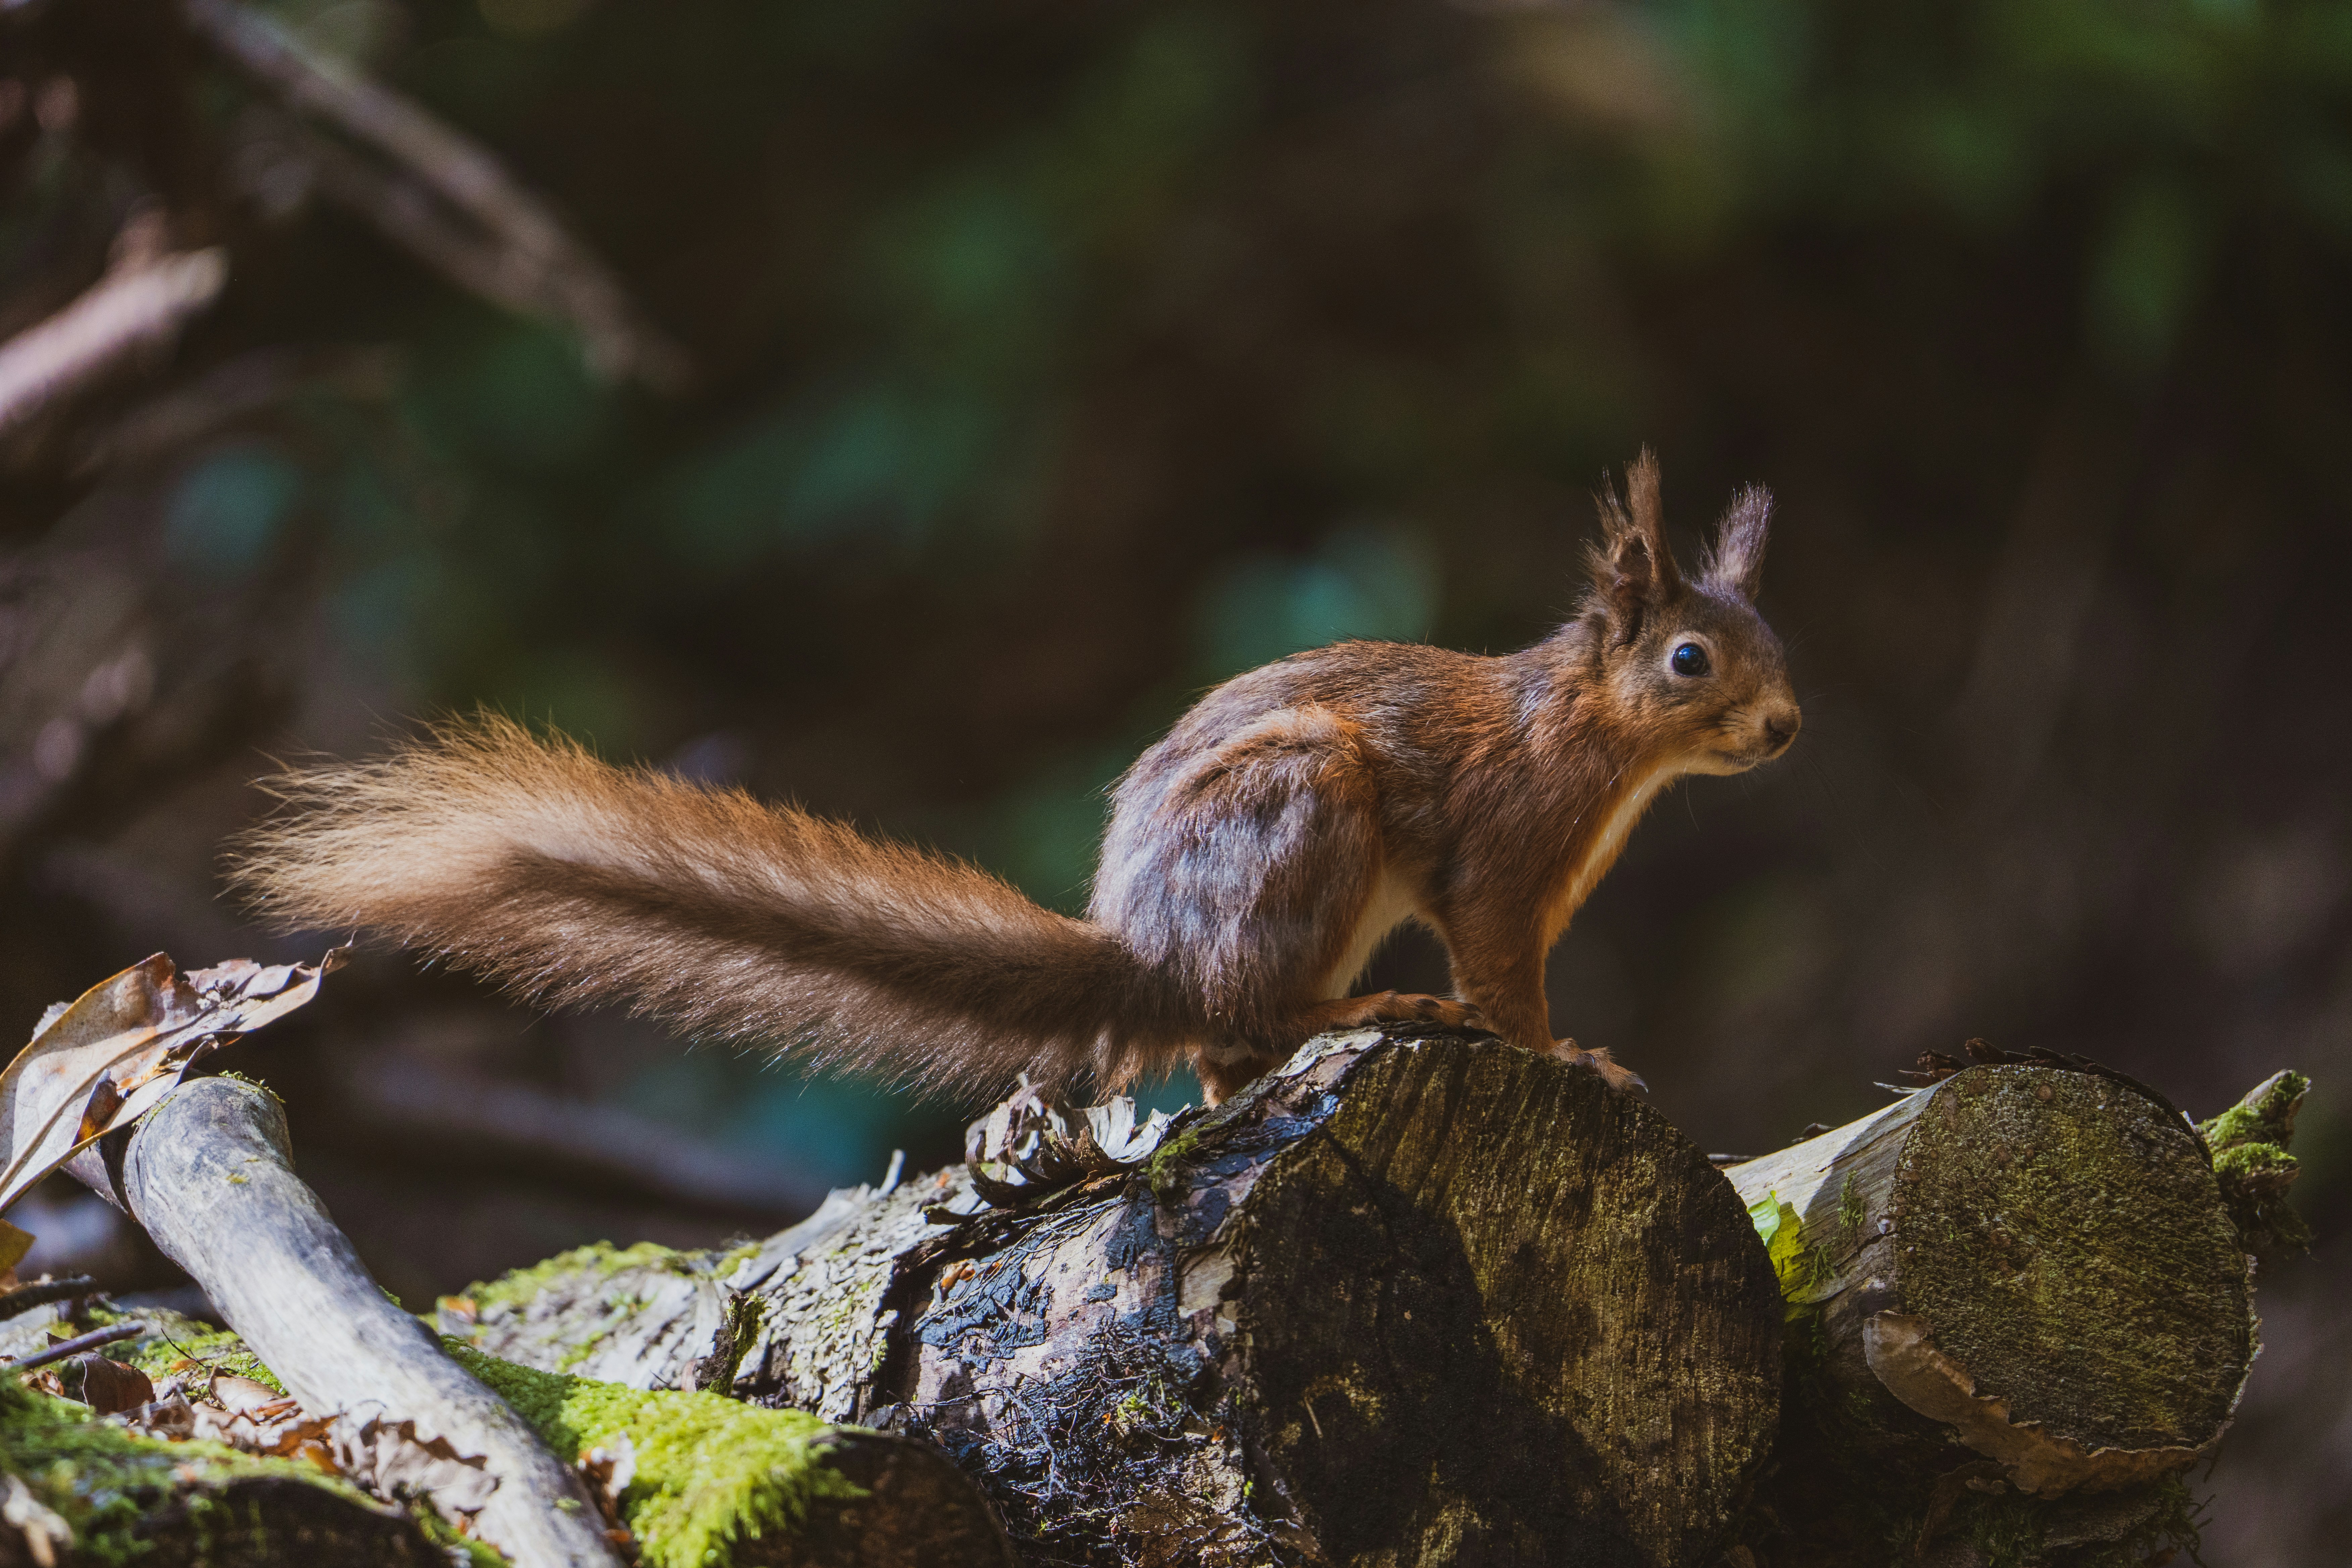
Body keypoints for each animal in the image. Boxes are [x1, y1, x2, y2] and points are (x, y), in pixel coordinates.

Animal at [230, 451, 1798, 1106]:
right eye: (1690, 660)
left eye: (1774, 640)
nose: (1787, 727)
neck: (1595, 742)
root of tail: (1150, 956)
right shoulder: (1503, 860)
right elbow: (1500, 974)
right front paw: (1568, 1057)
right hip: (1303, 810)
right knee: (1244, 1024)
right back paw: (1371, 1009)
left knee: (1227, 1053)